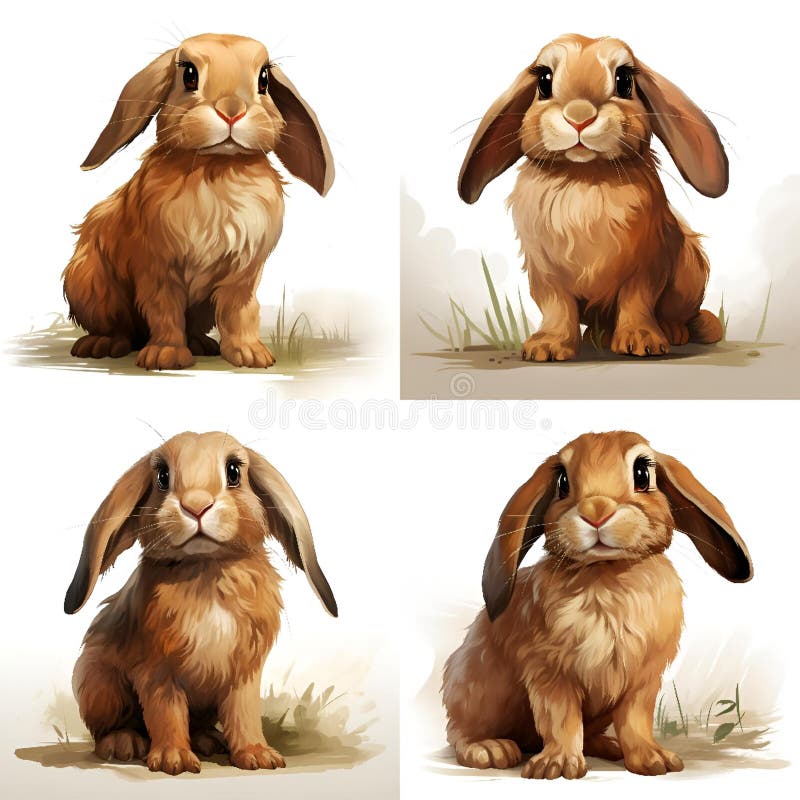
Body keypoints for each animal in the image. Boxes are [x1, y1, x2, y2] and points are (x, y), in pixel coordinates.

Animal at [63, 33, 334, 371]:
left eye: (264, 80)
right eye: (189, 75)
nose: (231, 110)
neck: (217, 167)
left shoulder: (243, 274)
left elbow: (240, 312)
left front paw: (251, 355)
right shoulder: (158, 269)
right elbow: (165, 311)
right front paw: (165, 357)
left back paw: (202, 345)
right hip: (90, 284)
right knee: (117, 326)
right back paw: (103, 344)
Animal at [63, 431, 337, 774]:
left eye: (233, 472)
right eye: (162, 476)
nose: (196, 506)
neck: (207, 568)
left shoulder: (244, 675)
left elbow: (244, 713)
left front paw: (258, 756)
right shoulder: (157, 672)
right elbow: (166, 713)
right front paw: (174, 760)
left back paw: (209, 741)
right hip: (99, 683)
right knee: (111, 726)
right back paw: (123, 743)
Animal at [442, 430, 752, 779]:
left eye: (642, 474)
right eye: (562, 482)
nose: (596, 511)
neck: (607, 574)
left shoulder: (642, 682)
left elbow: (635, 721)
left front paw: (654, 761)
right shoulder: (549, 674)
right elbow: (561, 719)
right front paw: (557, 766)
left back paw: (608, 747)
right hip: (478, 694)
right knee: (461, 734)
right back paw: (490, 750)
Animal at [458, 34, 728, 361]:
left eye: (624, 81)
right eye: (544, 81)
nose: (579, 117)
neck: (584, 176)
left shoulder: (646, 266)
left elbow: (636, 301)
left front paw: (641, 342)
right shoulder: (545, 273)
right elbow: (556, 306)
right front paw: (546, 347)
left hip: (690, 270)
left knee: (681, 315)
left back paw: (673, 332)